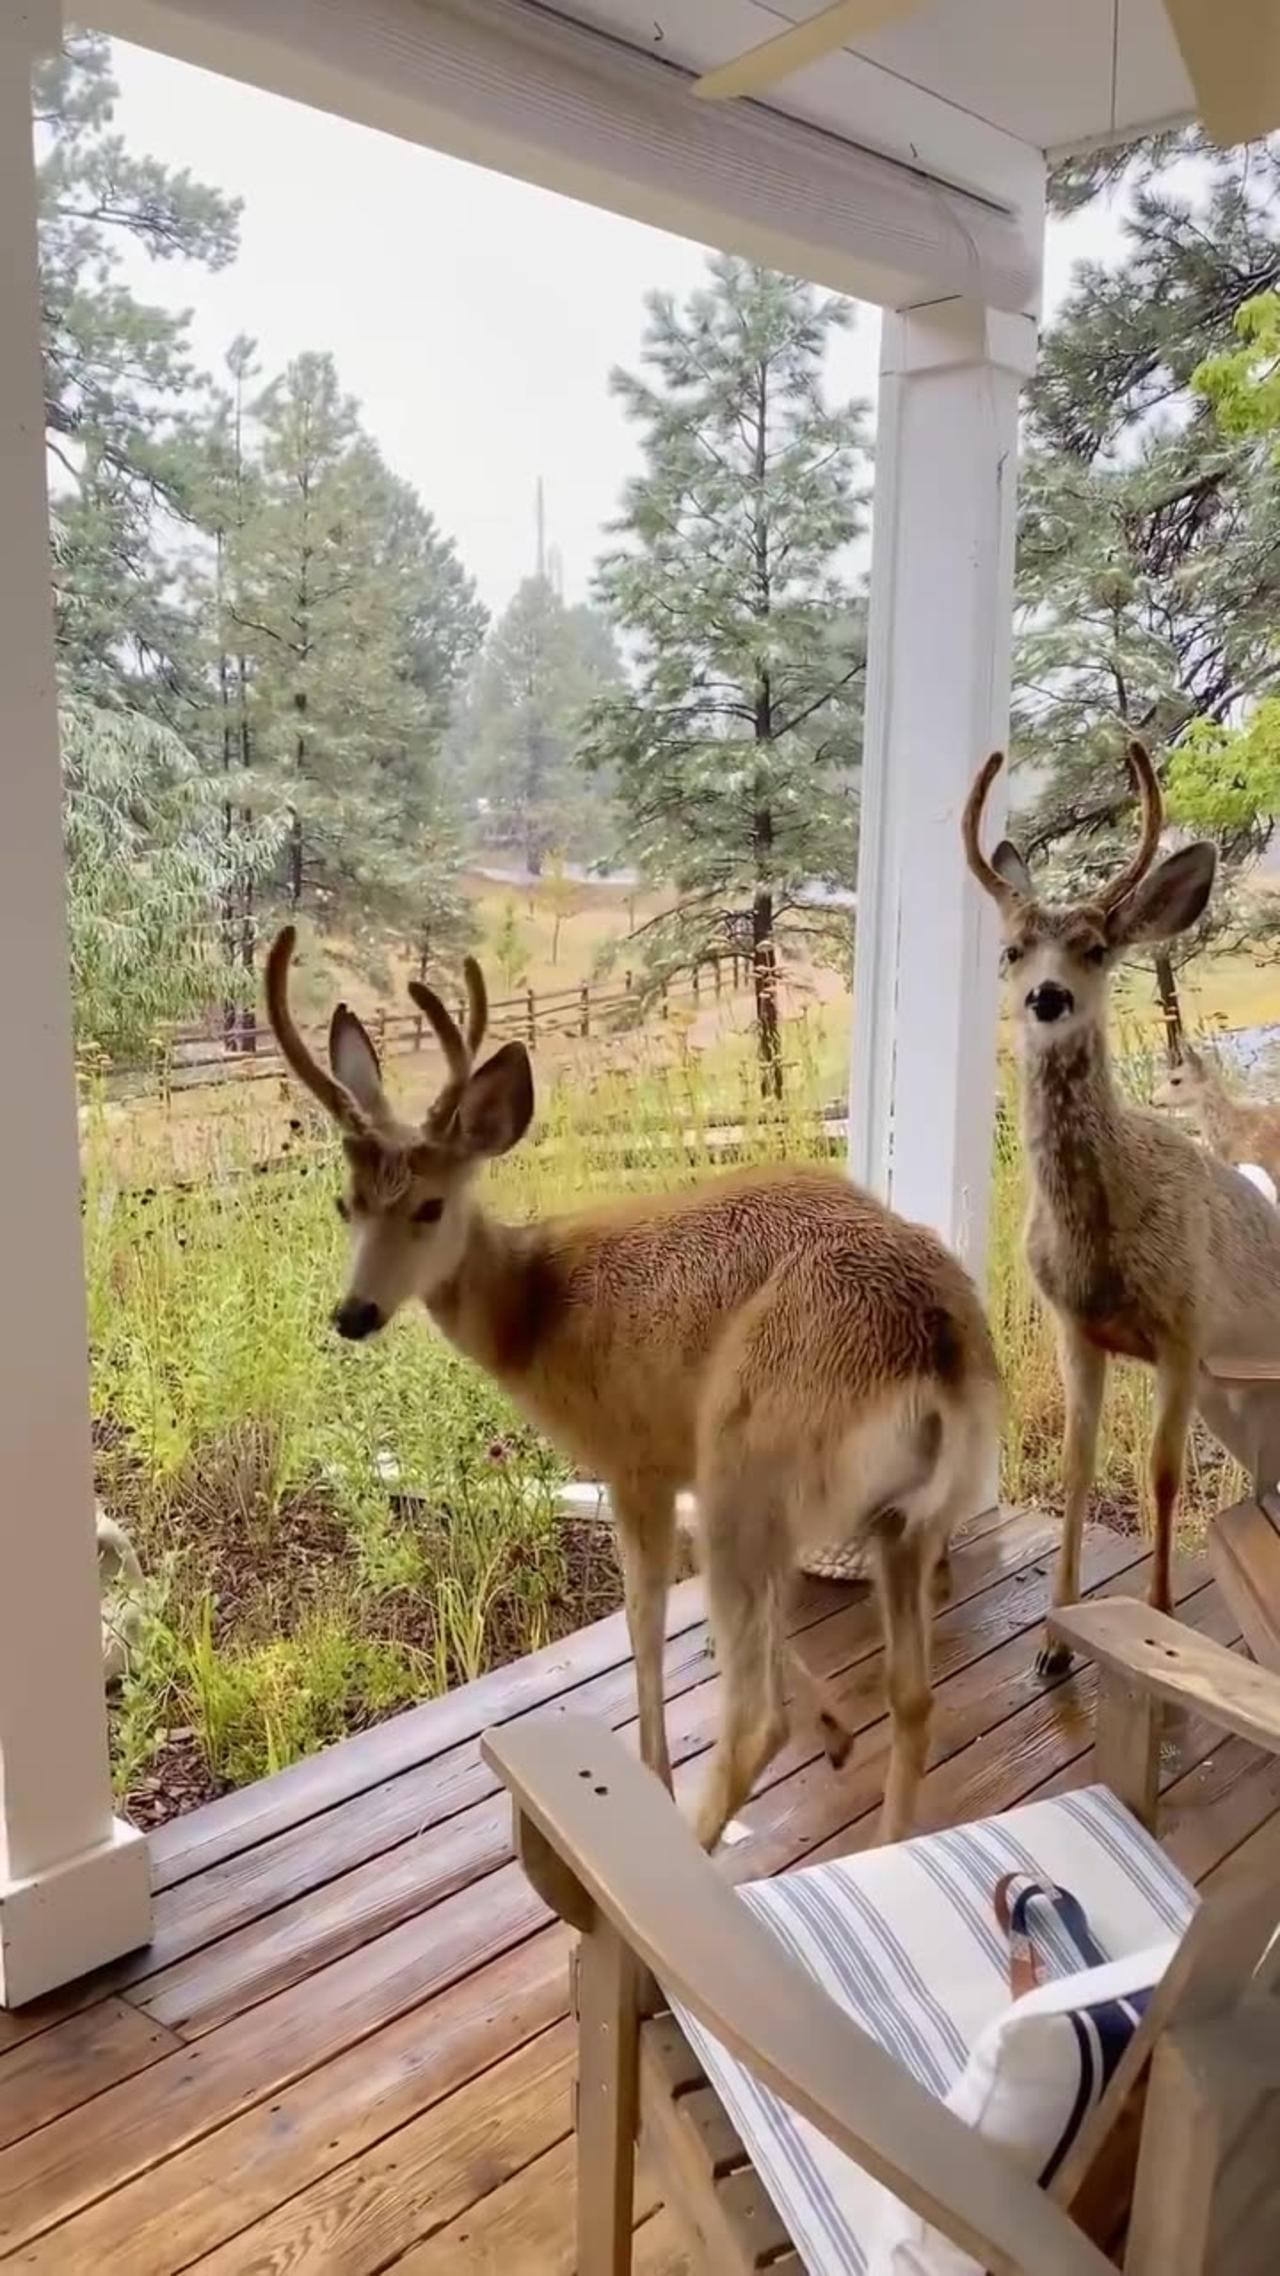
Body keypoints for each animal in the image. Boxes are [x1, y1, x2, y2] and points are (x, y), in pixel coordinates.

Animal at [264, 925, 1001, 1848]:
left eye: (429, 1206)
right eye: (345, 1204)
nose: (354, 1313)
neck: (535, 1311)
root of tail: (937, 1348)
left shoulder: (633, 1460)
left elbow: (641, 1624)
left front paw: (655, 1770)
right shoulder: (677, 1466)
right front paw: (834, 1730)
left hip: (751, 1459)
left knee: (755, 1716)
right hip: (906, 1517)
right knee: (914, 1697)